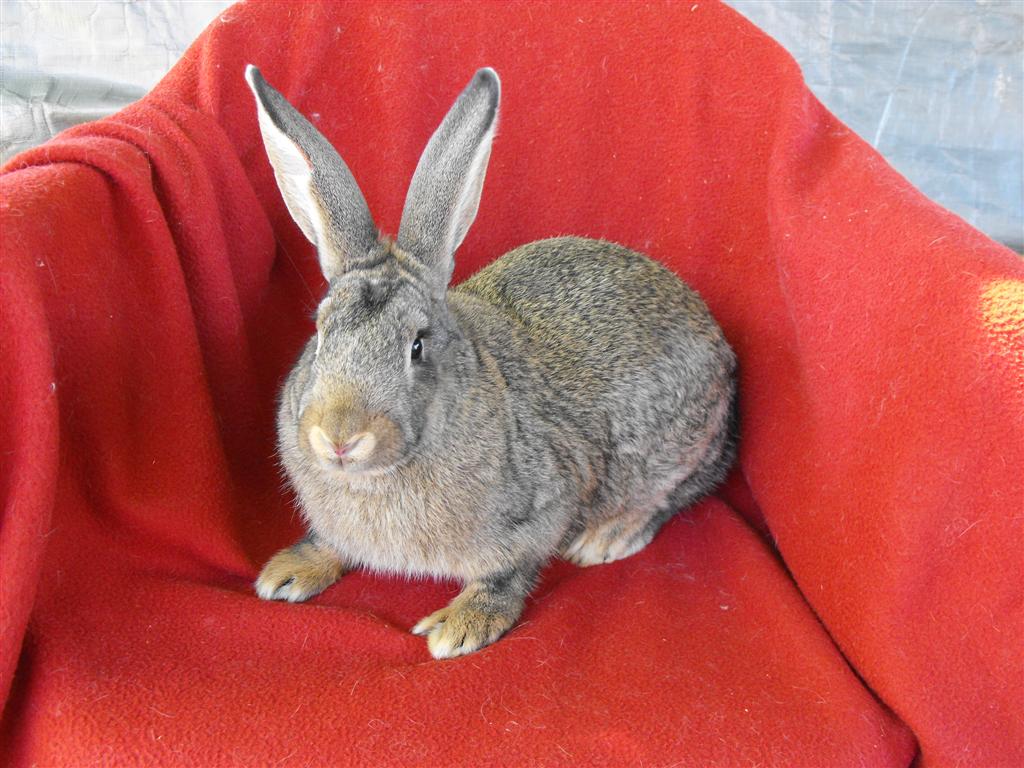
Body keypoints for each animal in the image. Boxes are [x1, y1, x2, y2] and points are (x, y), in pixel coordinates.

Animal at [246, 65, 738, 659]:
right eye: (319, 333)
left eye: (417, 346)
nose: (339, 437)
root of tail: (723, 350)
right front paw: (287, 573)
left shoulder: (543, 507)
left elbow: (509, 572)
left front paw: (460, 627)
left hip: (680, 446)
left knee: (674, 491)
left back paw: (603, 539)